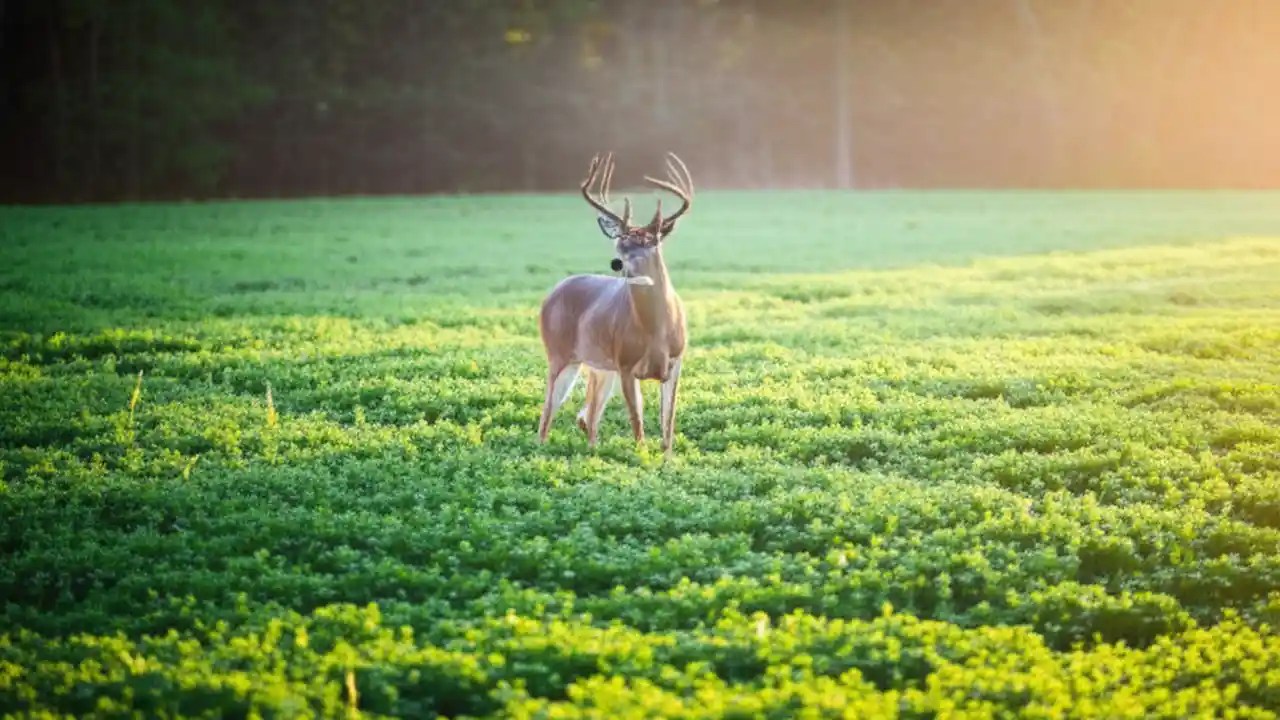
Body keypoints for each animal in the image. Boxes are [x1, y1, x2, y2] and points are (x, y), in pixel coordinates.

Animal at [536, 151, 694, 455]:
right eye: (620, 244)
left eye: (651, 242)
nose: (618, 263)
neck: (655, 331)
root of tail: (552, 293)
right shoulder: (625, 363)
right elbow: (637, 422)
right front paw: (642, 458)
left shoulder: (676, 361)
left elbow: (667, 424)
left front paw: (667, 459)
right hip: (559, 353)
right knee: (547, 414)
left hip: (599, 365)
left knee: (590, 417)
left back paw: (592, 449)